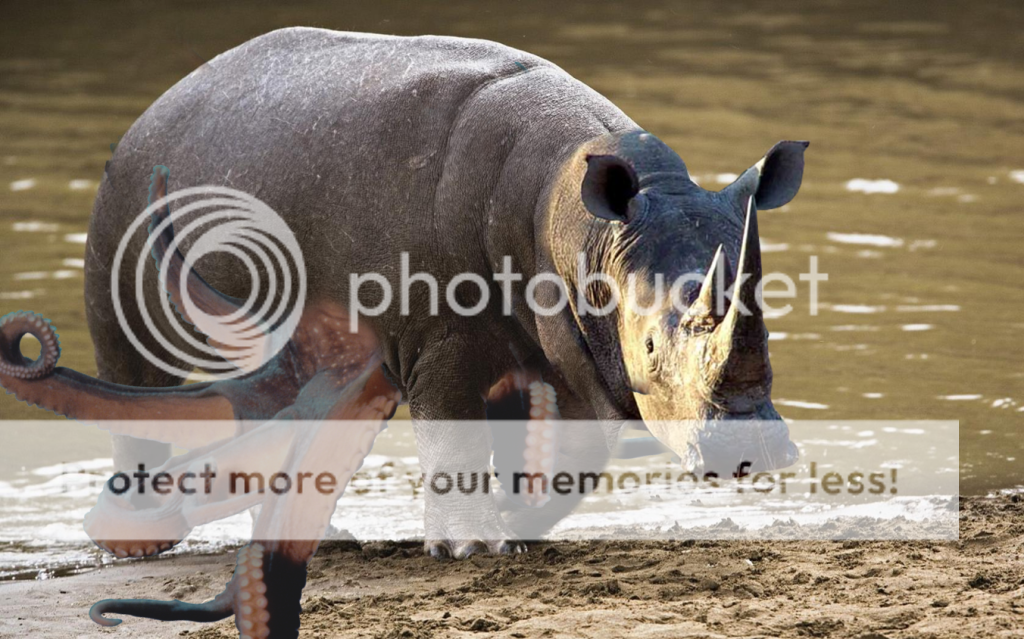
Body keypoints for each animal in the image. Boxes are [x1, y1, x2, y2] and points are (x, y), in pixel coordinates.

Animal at [0, 28, 804, 637]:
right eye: (654, 344)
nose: (754, 449)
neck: (586, 232)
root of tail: (158, 102)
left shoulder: (569, 355)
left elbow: (564, 452)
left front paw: (520, 527)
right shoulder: (443, 338)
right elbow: (452, 430)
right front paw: (473, 549)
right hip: (121, 240)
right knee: (136, 376)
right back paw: (143, 539)